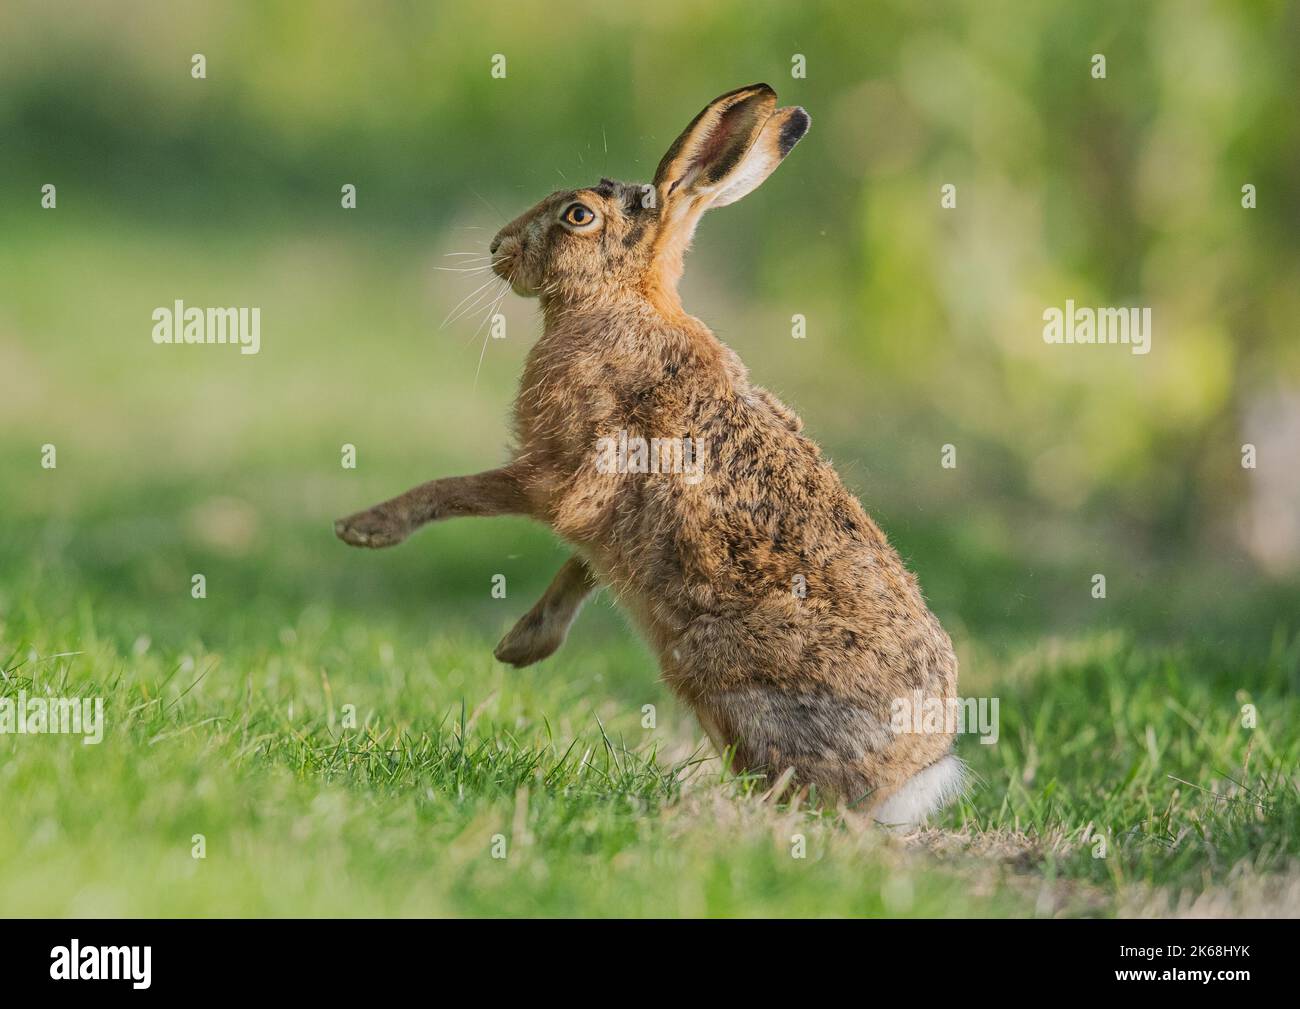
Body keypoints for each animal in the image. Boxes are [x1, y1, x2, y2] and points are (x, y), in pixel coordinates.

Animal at [336, 83, 964, 824]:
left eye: (578, 215)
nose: (498, 248)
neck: (621, 299)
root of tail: (915, 775)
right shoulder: (601, 523)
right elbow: (578, 568)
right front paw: (521, 647)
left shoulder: (558, 475)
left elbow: (462, 488)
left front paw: (366, 527)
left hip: (715, 672)